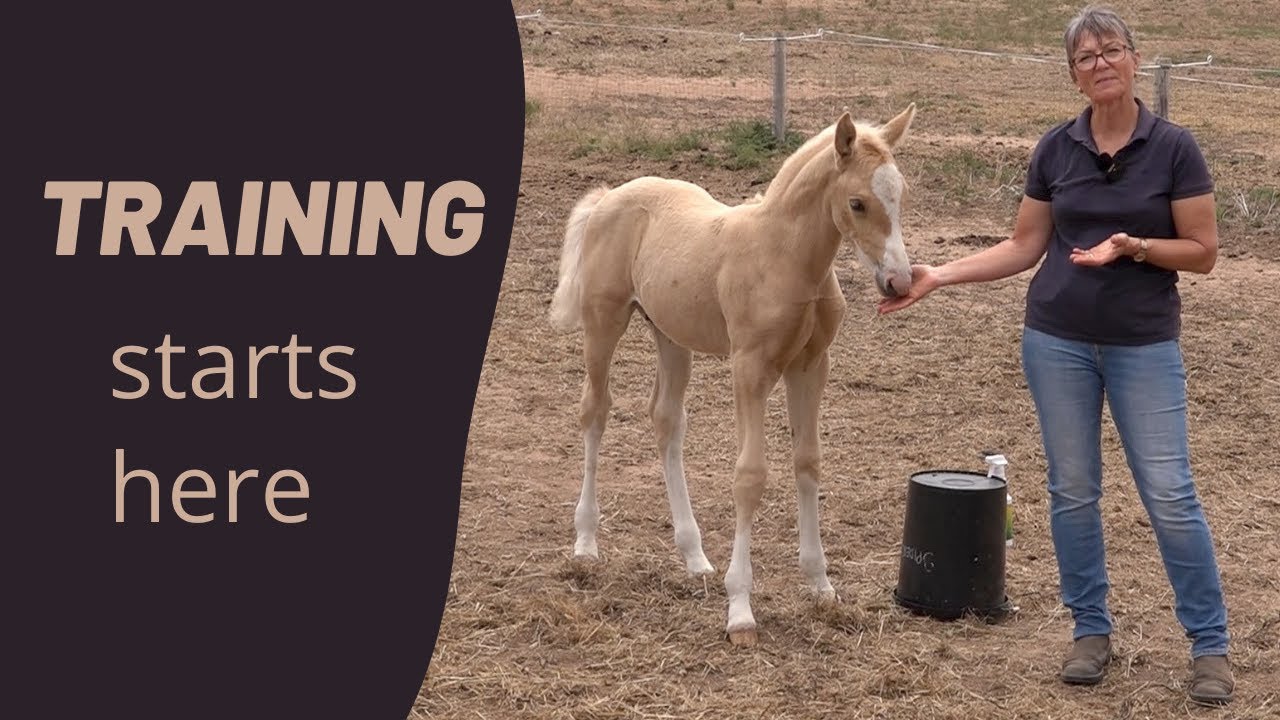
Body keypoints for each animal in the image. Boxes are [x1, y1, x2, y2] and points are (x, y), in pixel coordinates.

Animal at [548, 105, 917, 646]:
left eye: (900, 194)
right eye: (857, 202)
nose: (899, 281)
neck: (783, 256)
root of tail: (609, 197)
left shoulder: (811, 366)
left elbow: (808, 462)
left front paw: (820, 584)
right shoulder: (750, 368)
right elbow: (750, 476)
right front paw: (740, 609)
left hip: (670, 335)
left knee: (666, 420)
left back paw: (694, 555)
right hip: (604, 323)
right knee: (594, 412)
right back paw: (585, 544)